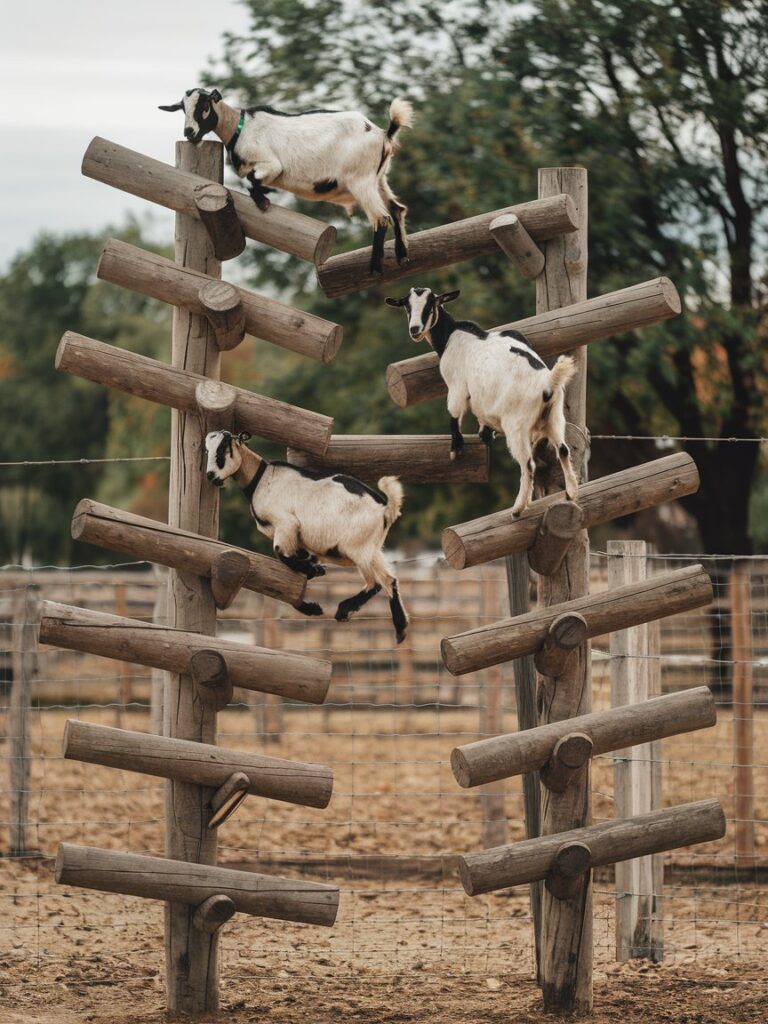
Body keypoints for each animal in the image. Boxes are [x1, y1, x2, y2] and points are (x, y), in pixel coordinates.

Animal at [159, 87, 413, 274]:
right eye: (182, 109)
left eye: (204, 106)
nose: (190, 133)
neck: (239, 128)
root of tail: (383, 134)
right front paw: (265, 195)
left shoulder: (271, 165)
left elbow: (251, 180)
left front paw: (263, 200)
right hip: (378, 180)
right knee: (397, 209)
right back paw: (402, 255)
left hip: (360, 180)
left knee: (381, 218)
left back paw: (375, 267)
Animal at [204, 431, 409, 643]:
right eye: (206, 450)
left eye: (223, 447)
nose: (210, 476)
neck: (260, 479)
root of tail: (385, 510)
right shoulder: (294, 539)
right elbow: (293, 568)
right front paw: (313, 578)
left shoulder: (286, 524)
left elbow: (281, 555)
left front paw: (314, 571)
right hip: (373, 550)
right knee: (389, 580)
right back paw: (400, 630)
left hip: (358, 549)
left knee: (375, 582)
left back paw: (343, 611)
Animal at [385, 288, 579, 517]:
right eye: (406, 305)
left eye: (431, 304)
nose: (414, 329)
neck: (453, 335)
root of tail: (547, 382)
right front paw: (485, 433)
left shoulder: (456, 386)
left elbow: (454, 414)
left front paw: (456, 450)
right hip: (555, 417)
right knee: (563, 450)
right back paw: (571, 493)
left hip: (517, 426)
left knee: (528, 464)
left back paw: (518, 508)